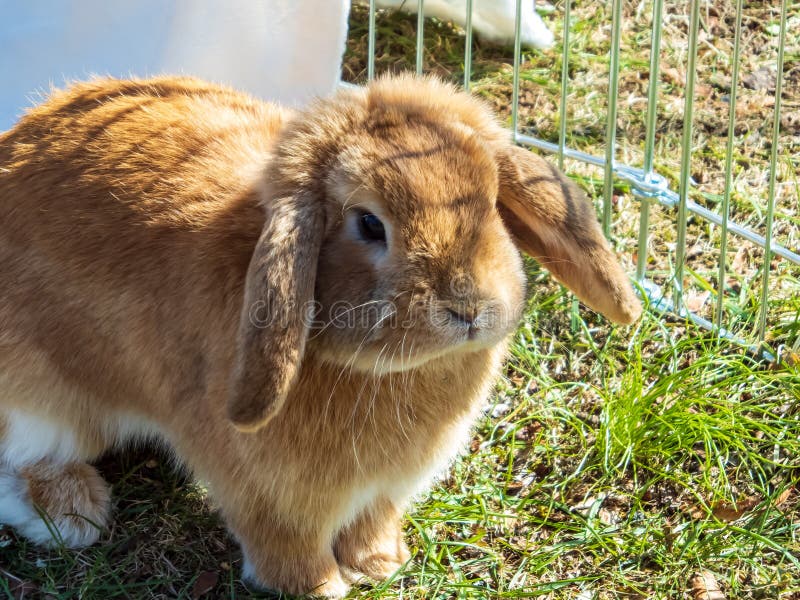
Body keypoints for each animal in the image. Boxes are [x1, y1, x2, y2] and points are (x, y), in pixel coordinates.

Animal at [0, 74, 640, 597]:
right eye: (369, 223)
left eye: (490, 203)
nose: (469, 308)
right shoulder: (267, 494)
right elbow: (286, 541)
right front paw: (320, 588)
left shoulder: (382, 491)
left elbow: (371, 522)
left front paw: (382, 564)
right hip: (48, 404)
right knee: (25, 462)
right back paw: (75, 515)